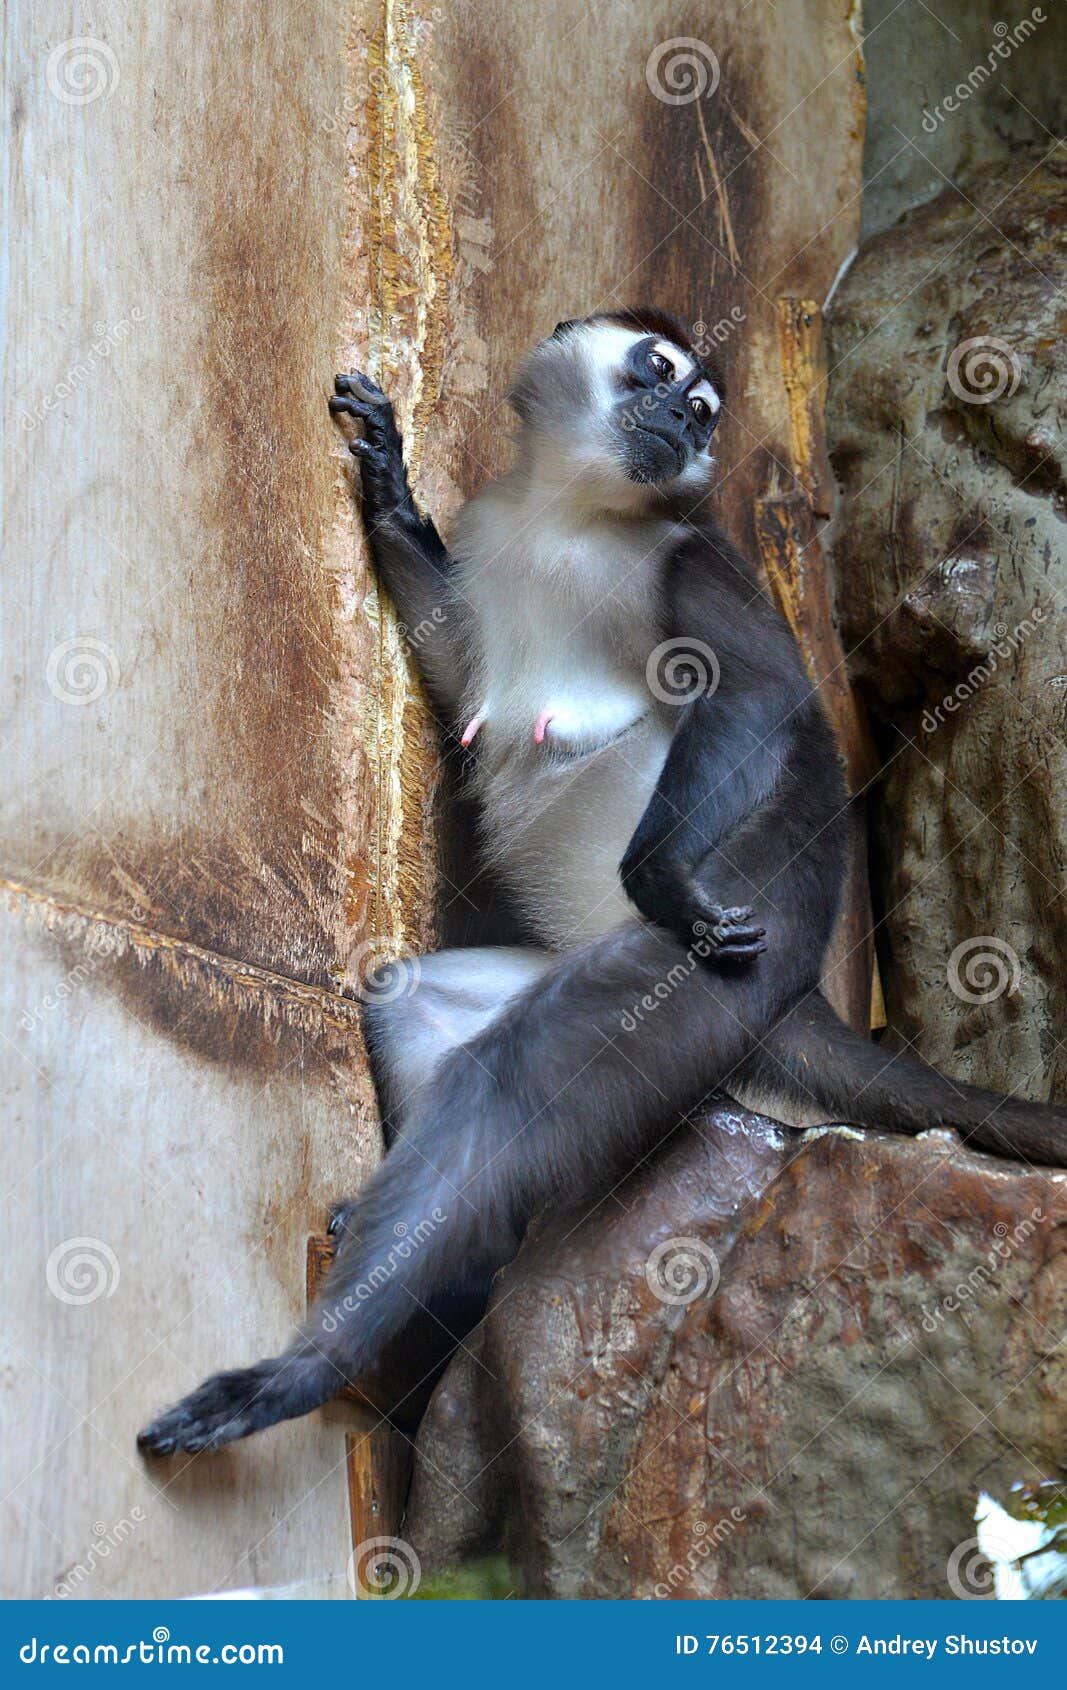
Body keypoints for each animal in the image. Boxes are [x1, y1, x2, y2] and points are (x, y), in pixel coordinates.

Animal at [138, 306, 1067, 1456]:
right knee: (416, 1006)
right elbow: (460, 664)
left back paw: (306, 1368)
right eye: (656, 374)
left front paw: (660, 870)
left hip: (699, 985)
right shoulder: (496, 529)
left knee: (511, 1081)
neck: (569, 513)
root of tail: (795, 995)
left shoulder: (694, 558)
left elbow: (764, 701)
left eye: (701, 408)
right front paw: (390, 482)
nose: (677, 417)